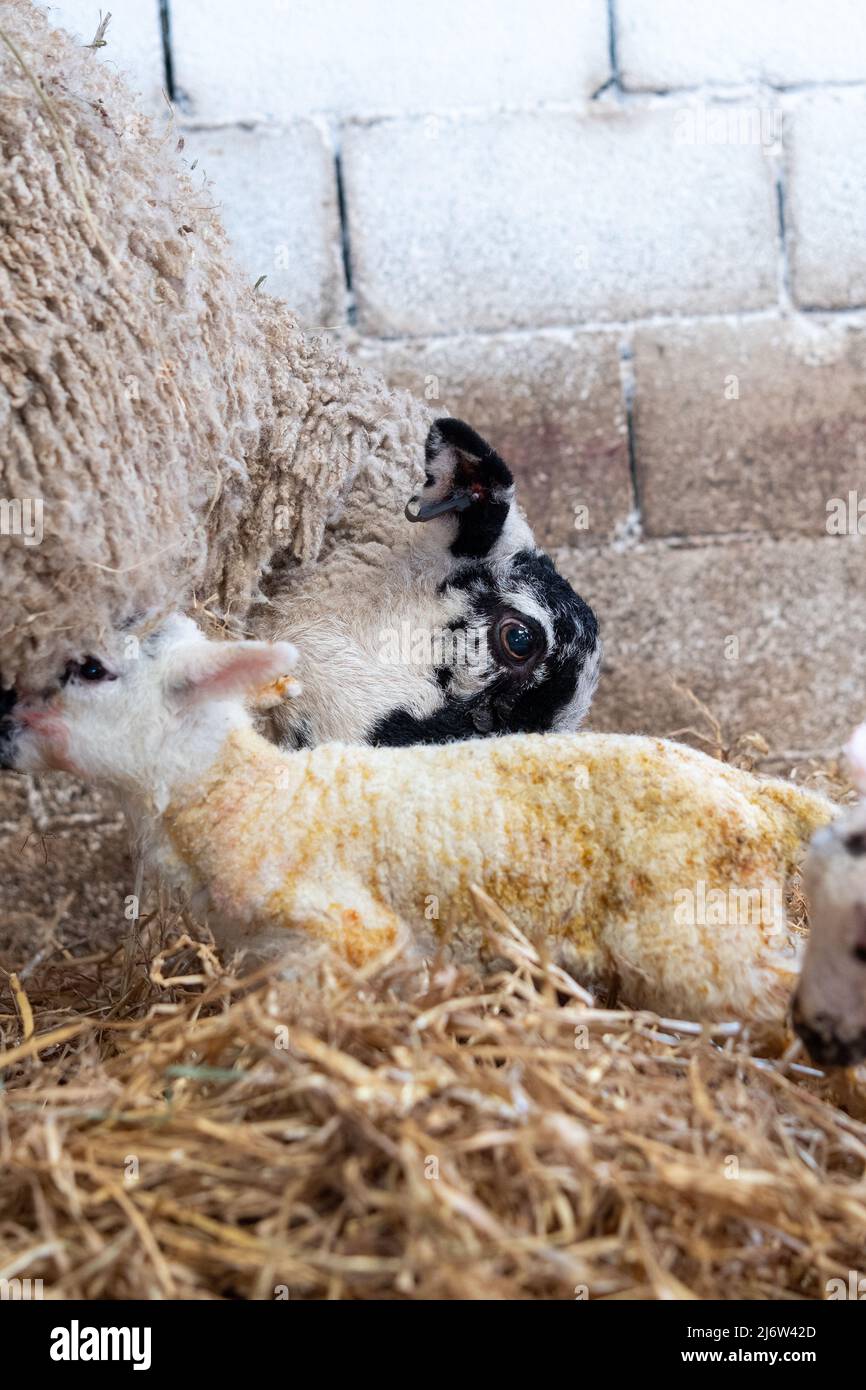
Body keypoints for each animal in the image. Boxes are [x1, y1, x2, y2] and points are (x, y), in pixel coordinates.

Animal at [0, 615, 834, 1023]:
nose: (2, 723)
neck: (250, 799)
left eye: (89, 670)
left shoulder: (348, 932)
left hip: (695, 937)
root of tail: (763, 799)